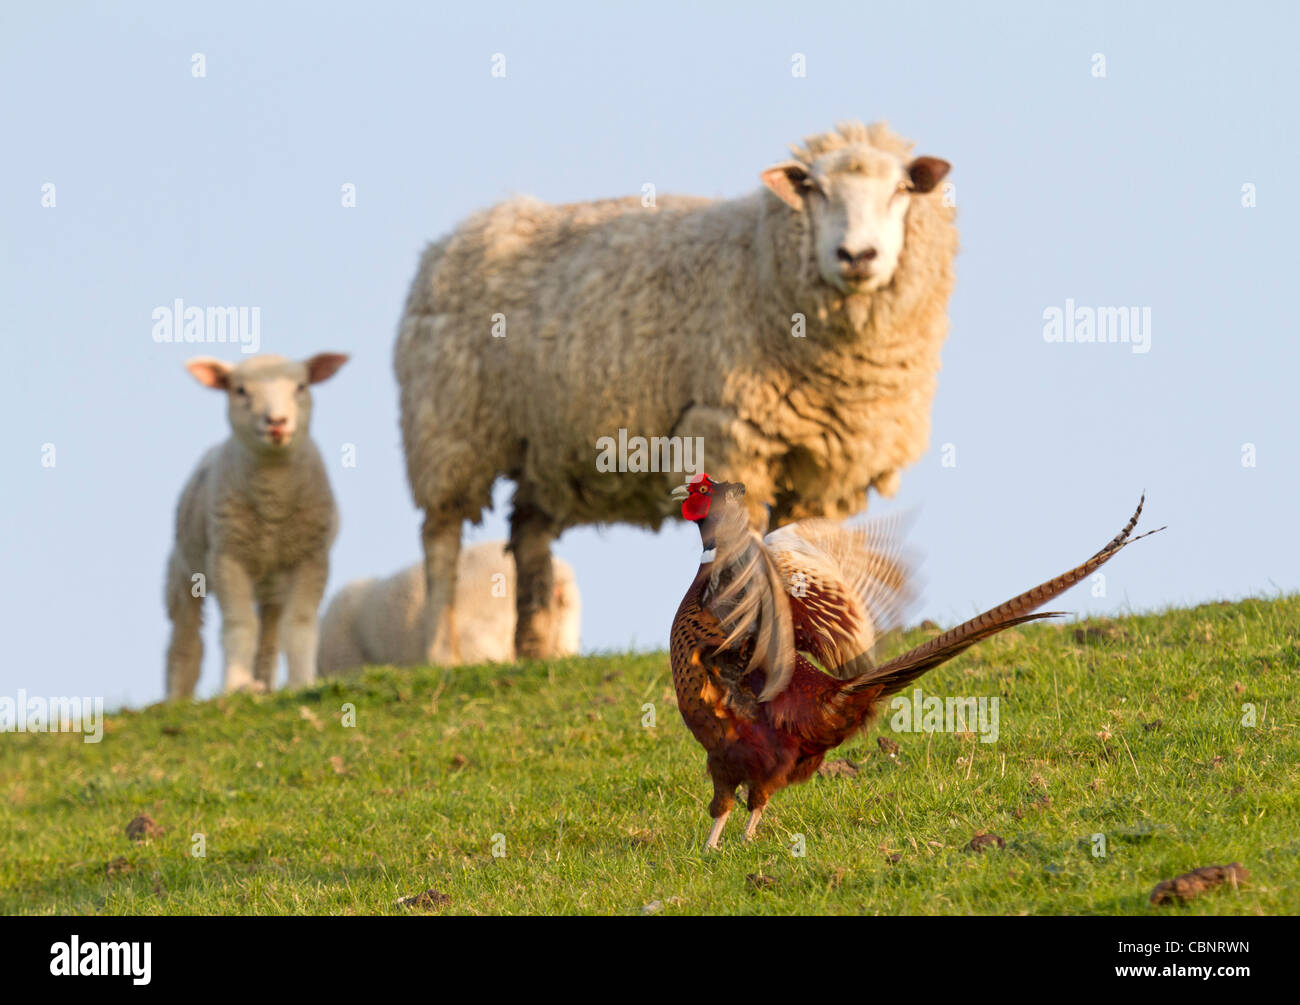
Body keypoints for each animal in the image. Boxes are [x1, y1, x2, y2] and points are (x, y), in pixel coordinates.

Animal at [164, 352, 349, 699]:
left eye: (301, 386)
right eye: (240, 390)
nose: (276, 422)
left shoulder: (311, 558)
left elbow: (299, 624)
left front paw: (302, 683)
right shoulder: (228, 559)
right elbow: (240, 624)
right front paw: (235, 685)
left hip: (272, 586)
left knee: (270, 639)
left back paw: (264, 687)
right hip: (184, 572)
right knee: (185, 642)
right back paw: (176, 699)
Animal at [395, 120, 956, 664]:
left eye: (902, 189)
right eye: (813, 189)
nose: (857, 255)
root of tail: (451, 239)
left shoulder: (823, 460)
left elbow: (802, 546)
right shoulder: (731, 429)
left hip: (543, 444)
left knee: (528, 532)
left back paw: (534, 653)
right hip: (449, 427)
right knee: (441, 537)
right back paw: (440, 654)